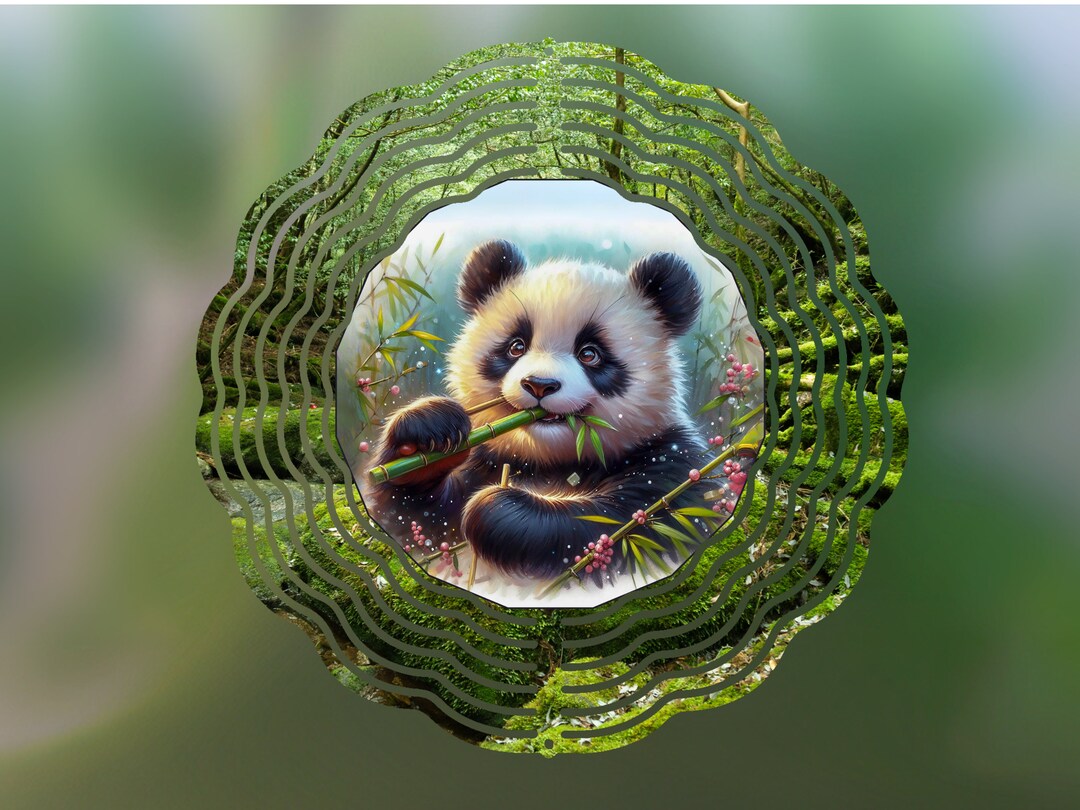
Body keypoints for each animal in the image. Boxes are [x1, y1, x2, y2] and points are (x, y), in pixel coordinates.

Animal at [360, 239, 712, 582]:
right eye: (516, 346)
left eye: (590, 354)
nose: (539, 385)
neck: (548, 461)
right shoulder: (488, 461)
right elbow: (414, 522)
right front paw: (427, 434)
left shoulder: (670, 466)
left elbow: (620, 527)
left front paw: (498, 510)